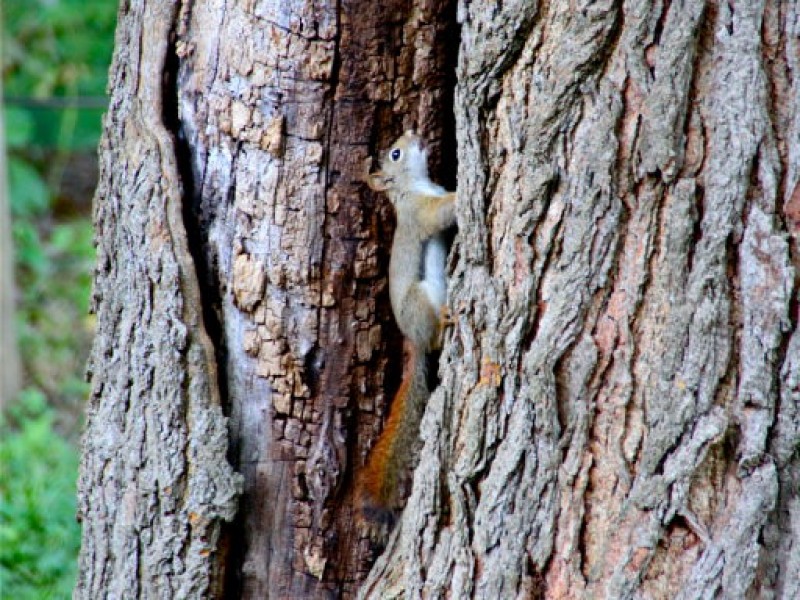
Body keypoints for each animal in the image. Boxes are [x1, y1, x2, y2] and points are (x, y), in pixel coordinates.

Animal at [359, 131, 456, 510]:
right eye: (396, 154)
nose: (417, 134)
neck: (419, 185)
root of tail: (412, 340)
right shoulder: (420, 213)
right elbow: (439, 214)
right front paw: (461, 196)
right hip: (420, 299)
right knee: (433, 339)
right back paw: (444, 321)